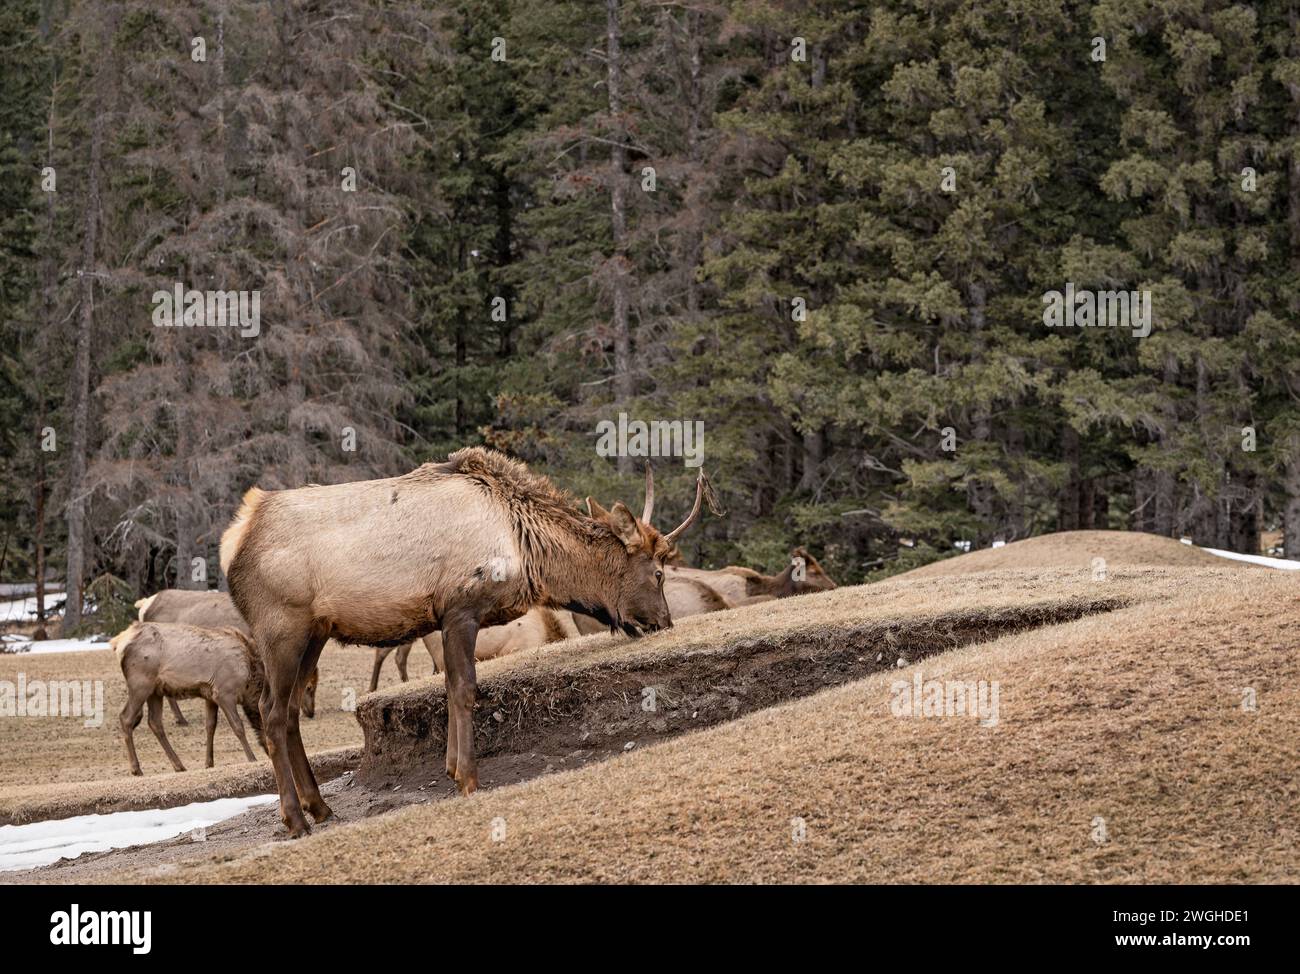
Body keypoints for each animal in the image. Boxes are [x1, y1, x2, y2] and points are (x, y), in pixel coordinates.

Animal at [112, 621, 267, 776]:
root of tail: (119, 643)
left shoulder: (210, 696)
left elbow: (210, 726)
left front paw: (209, 763)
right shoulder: (224, 692)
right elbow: (238, 726)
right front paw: (252, 758)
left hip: (155, 691)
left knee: (154, 722)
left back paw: (179, 765)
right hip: (141, 684)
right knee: (125, 717)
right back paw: (136, 769)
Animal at [220, 447, 715, 837]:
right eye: (658, 572)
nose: (665, 622)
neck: (527, 548)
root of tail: (233, 540)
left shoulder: (446, 621)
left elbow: (449, 687)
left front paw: (451, 767)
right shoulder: (460, 609)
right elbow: (463, 690)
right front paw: (468, 778)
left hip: (315, 634)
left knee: (289, 713)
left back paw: (320, 807)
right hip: (282, 628)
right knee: (270, 712)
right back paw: (295, 820)